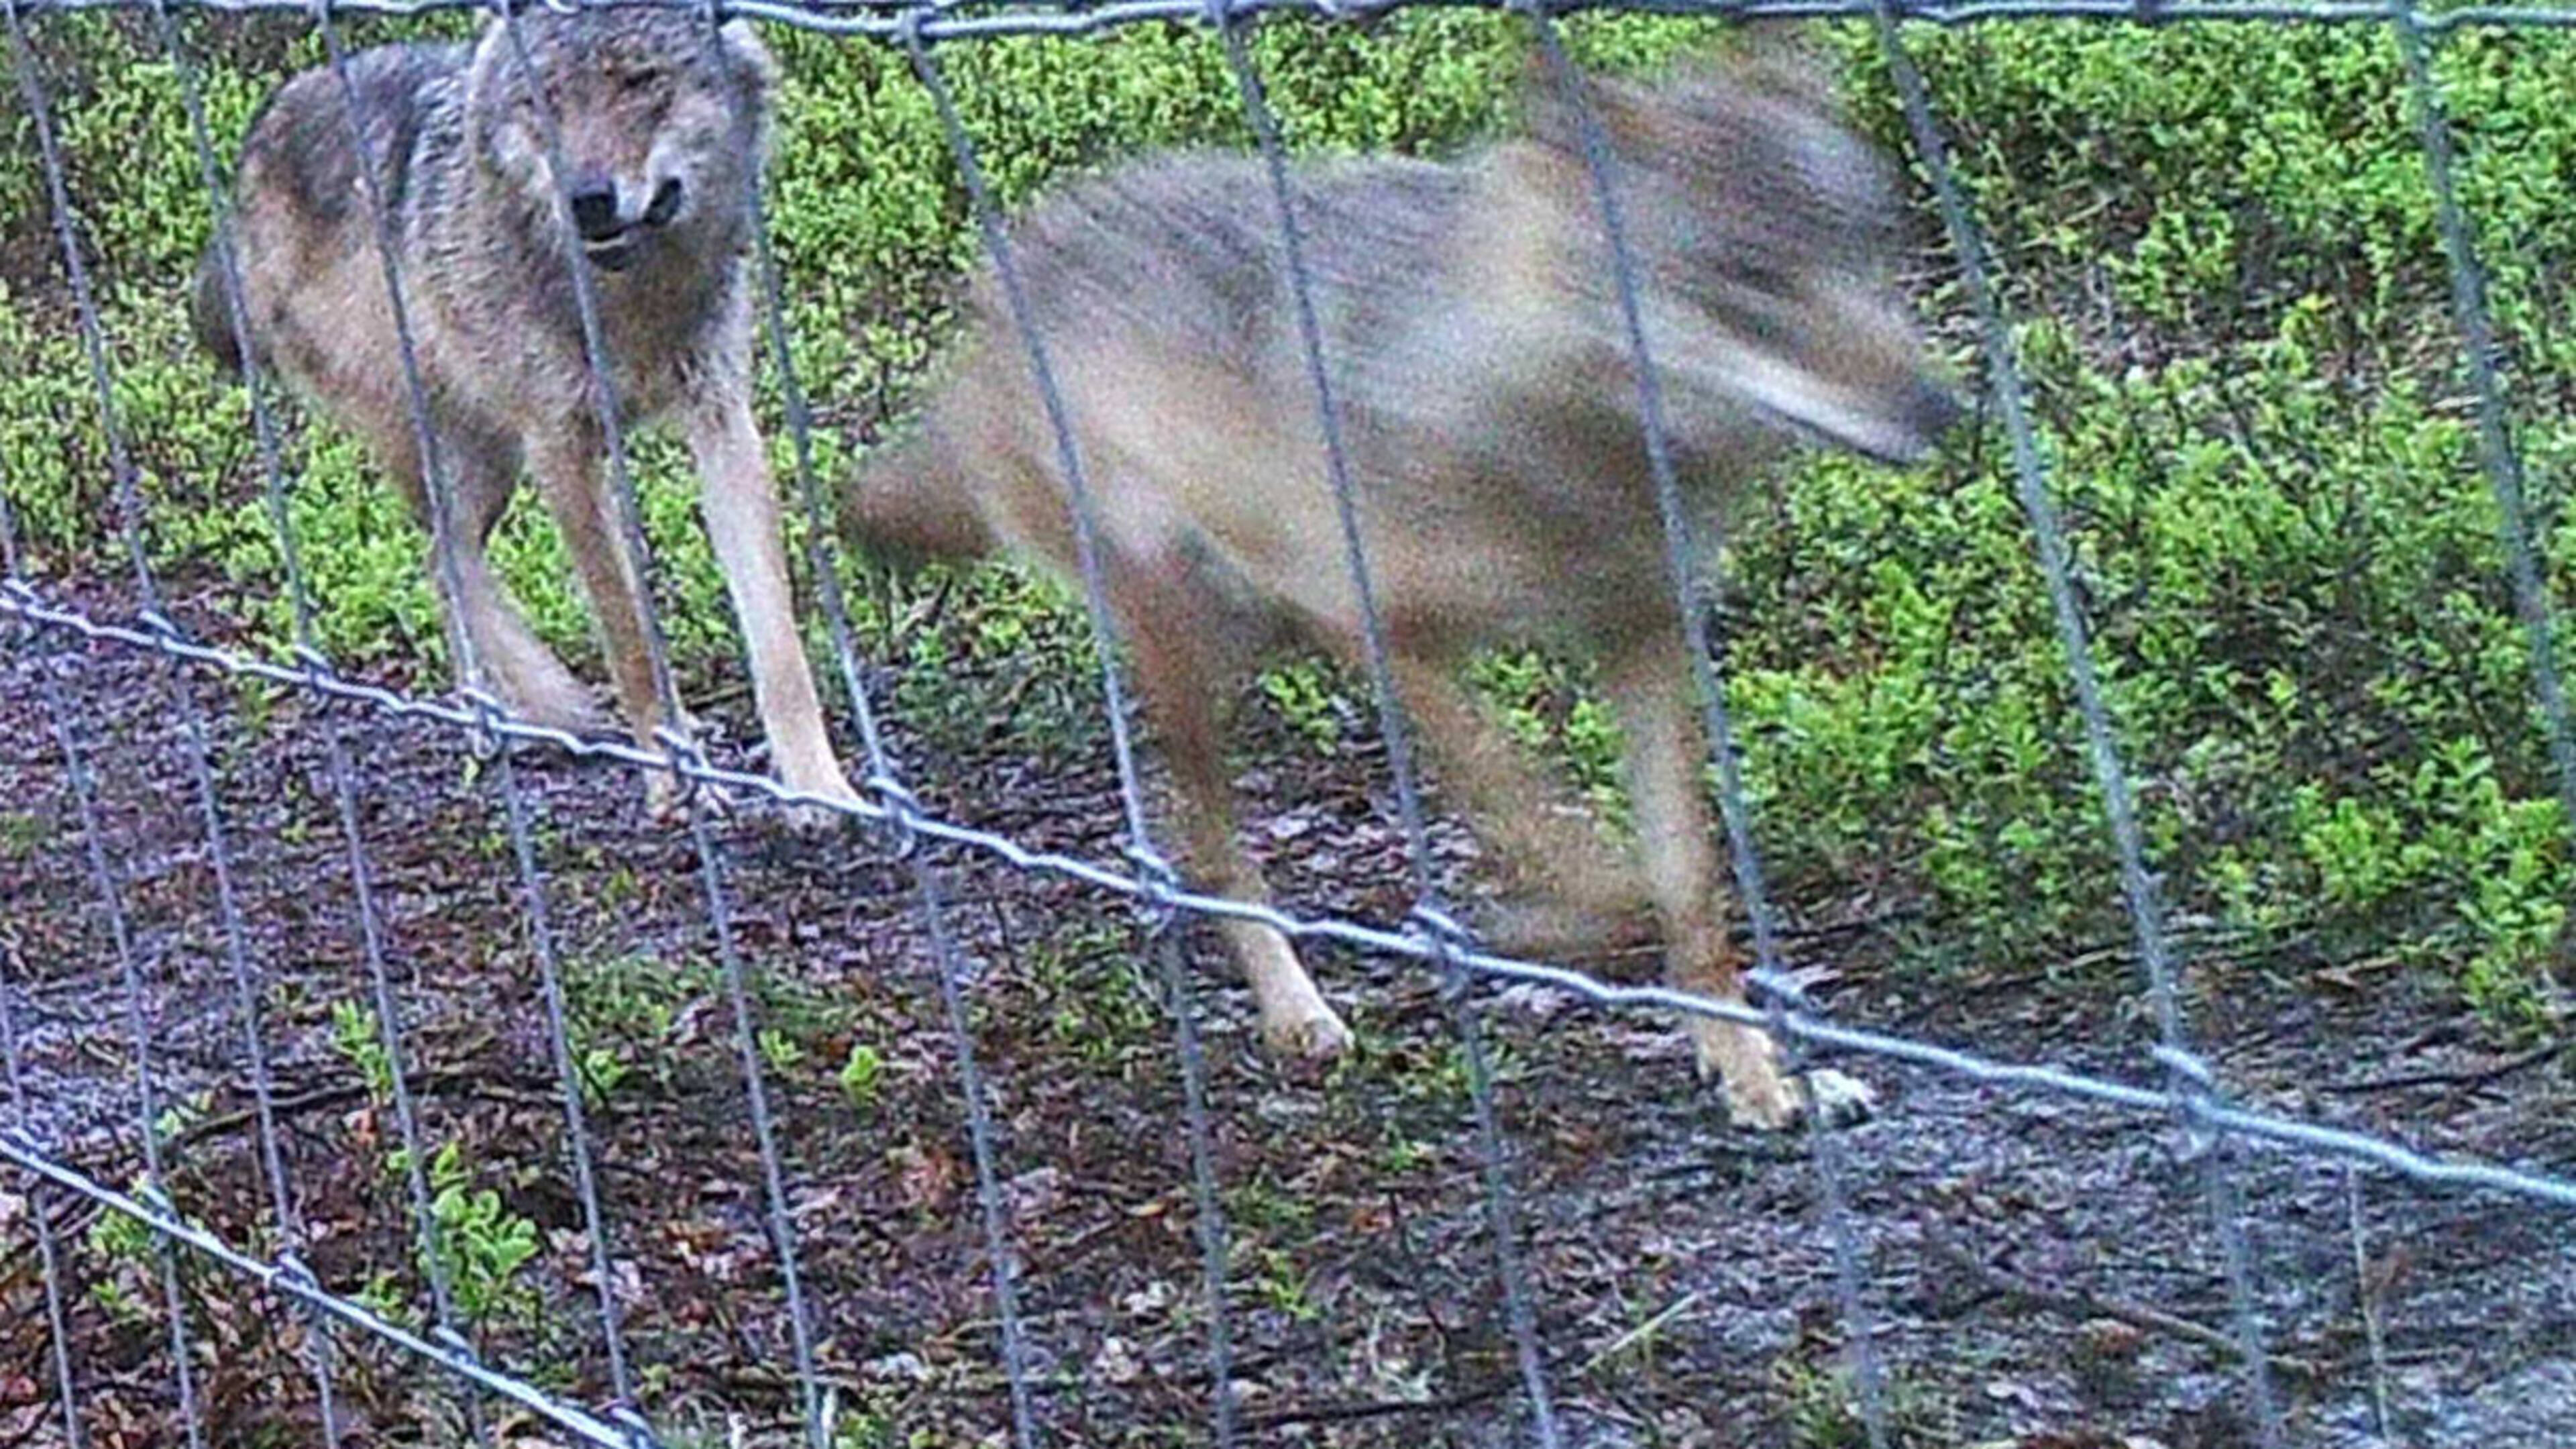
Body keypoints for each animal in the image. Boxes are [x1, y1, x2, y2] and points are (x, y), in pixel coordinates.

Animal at [193, 6, 856, 824]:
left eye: (641, 81)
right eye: (548, 99)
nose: (588, 199)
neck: (632, 303)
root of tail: (252, 149)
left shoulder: (724, 423)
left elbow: (777, 640)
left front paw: (818, 787)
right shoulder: (561, 447)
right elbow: (629, 635)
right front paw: (674, 776)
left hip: (492, 467)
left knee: (441, 563)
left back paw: (497, 717)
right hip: (446, 449)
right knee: (448, 559)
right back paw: (544, 701)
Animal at [844, 47, 1961, 1128]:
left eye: (1871, 246)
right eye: (1751, 281)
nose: (1939, 408)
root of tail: (995, 289)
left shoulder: (1642, 633)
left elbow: (1688, 882)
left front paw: (1760, 1075)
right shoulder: (1371, 627)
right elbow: (1558, 830)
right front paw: (1550, 920)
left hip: (1247, 647)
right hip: (1195, 650)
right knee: (1209, 845)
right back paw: (1300, 1015)